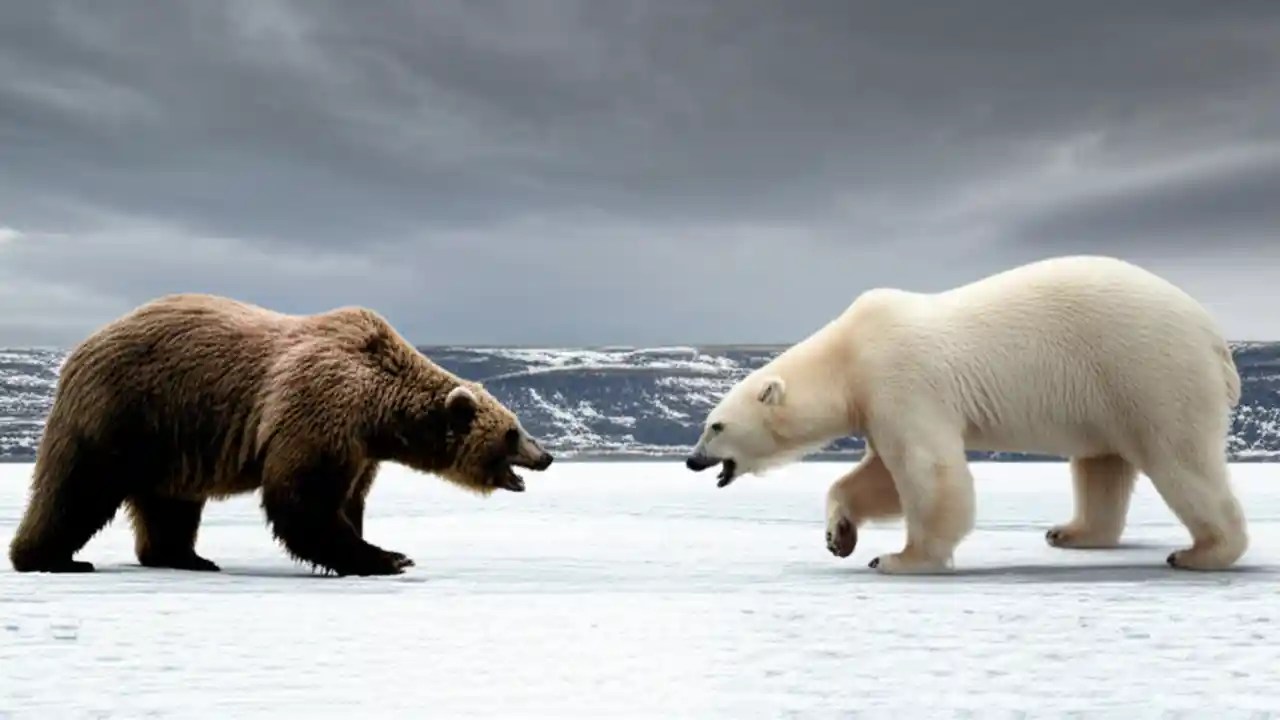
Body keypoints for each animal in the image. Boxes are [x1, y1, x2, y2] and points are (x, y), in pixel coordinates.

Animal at [7, 293, 554, 577]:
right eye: (513, 432)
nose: (546, 455)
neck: (380, 411)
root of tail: (79, 349)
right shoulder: (320, 410)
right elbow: (303, 499)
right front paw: (385, 557)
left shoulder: (361, 447)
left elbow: (348, 499)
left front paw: (380, 546)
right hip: (124, 408)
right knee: (78, 485)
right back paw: (48, 558)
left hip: (172, 434)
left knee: (170, 502)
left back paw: (187, 557)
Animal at [685, 255, 1248, 575]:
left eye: (715, 425)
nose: (691, 461)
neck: (847, 356)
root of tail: (1214, 337)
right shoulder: (875, 403)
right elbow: (878, 476)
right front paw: (838, 535)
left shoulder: (900, 379)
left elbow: (926, 470)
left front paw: (899, 559)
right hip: (1105, 391)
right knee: (1100, 464)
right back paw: (1073, 532)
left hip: (1149, 371)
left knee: (1179, 459)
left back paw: (1201, 553)